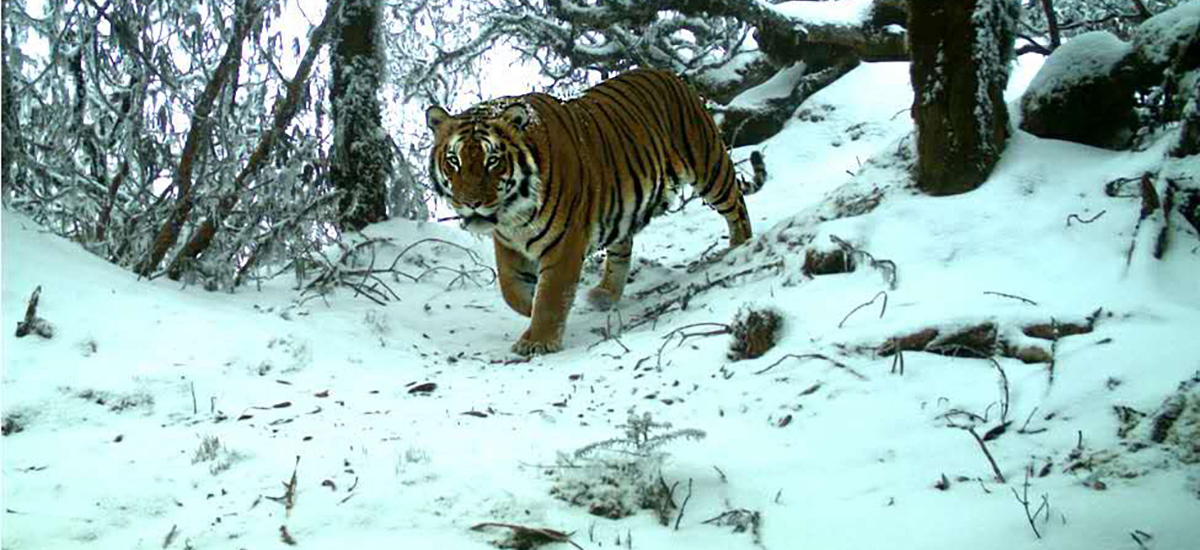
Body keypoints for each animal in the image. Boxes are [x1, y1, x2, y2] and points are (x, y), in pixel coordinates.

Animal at [425, 68, 767, 356]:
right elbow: (511, 289)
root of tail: (669, 73)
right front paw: (529, 312)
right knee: (622, 248)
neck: (513, 213)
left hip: (709, 166)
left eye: (492, 160)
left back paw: (741, 246)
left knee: (736, 205)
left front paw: (539, 340)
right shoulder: (508, 244)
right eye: (454, 160)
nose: (470, 202)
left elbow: (551, 296)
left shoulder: (564, 242)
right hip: (624, 205)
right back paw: (606, 294)